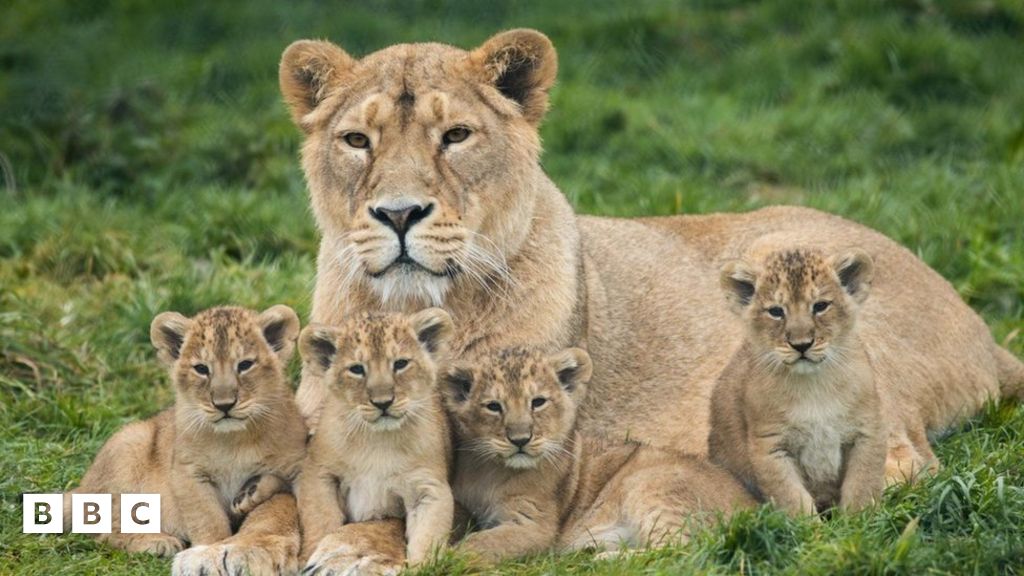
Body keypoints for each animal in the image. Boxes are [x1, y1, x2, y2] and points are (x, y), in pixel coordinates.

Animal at [63, 306, 307, 575]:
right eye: (201, 369)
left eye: (245, 365)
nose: (224, 405)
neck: (235, 440)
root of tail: (82, 488)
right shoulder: (188, 473)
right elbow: (208, 520)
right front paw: (209, 554)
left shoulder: (296, 465)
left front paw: (250, 493)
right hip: (128, 445)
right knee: (103, 529)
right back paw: (156, 542)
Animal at [295, 308, 455, 570]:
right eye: (357, 369)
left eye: (400, 364)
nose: (383, 402)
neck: (377, 440)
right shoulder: (319, 472)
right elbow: (321, 519)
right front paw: (311, 556)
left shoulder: (429, 487)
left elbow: (428, 538)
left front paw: (423, 568)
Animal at [443, 347, 754, 565]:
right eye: (494, 406)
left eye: (538, 402)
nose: (520, 440)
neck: (491, 470)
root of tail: (753, 504)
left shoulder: (535, 526)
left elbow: (478, 544)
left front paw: (443, 560)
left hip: (651, 484)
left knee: (684, 552)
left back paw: (601, 559)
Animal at [710, 248, 887, 515]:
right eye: (776, 311)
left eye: (820, 306)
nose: (801, 344)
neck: (813, 385)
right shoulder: (770, 446)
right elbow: (793, 499)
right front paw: (812, 527)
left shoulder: (867, 432)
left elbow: (862, 486)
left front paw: (858, 520)